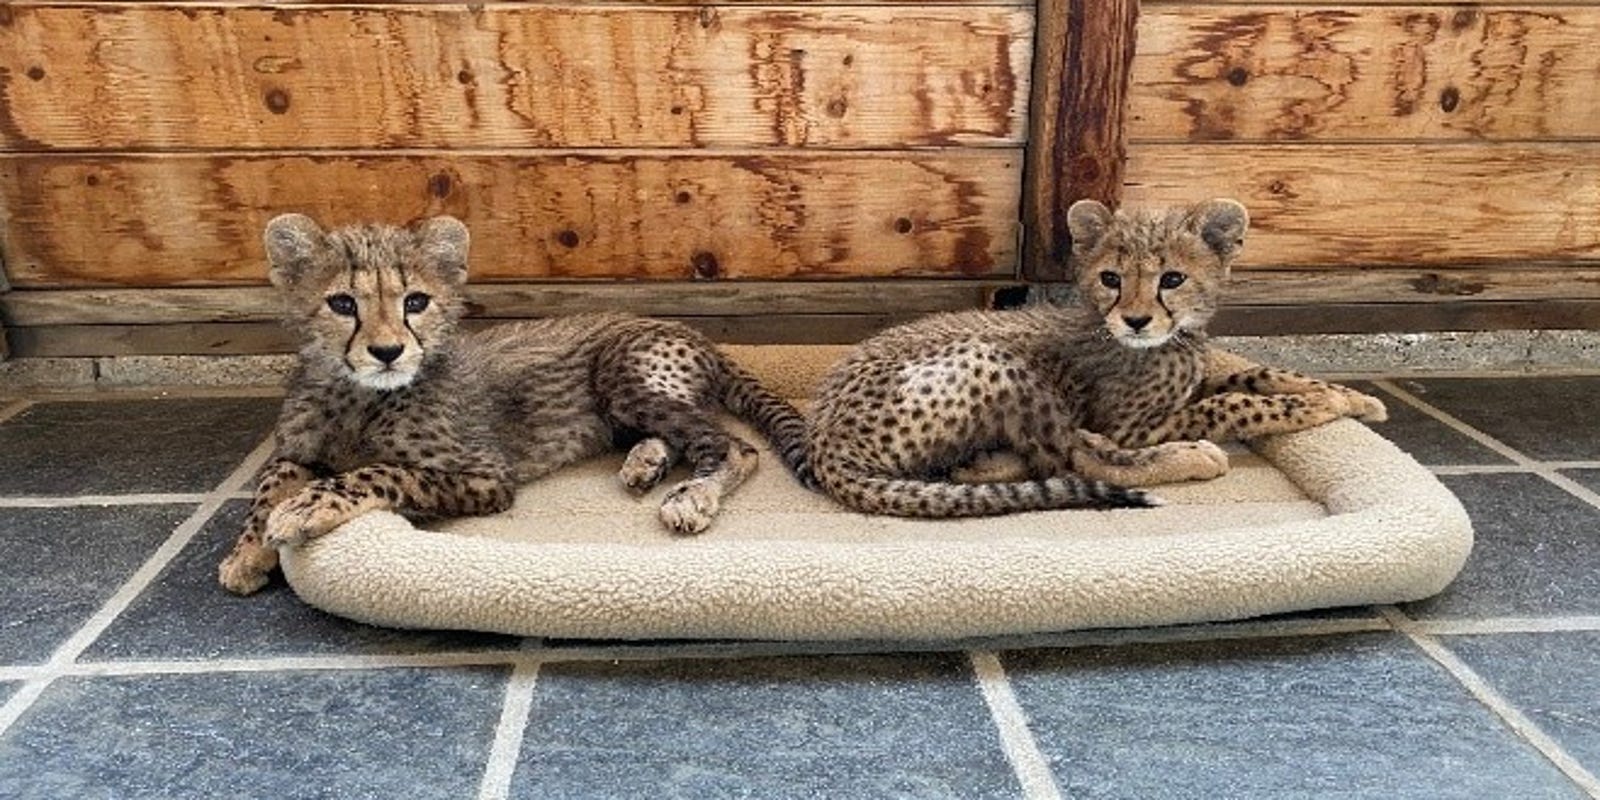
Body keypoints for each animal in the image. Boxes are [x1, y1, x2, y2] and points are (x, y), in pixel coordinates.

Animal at [218, 213, 811, 595]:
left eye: (416, 302)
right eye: (342, 303)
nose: (387, 351)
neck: (359, 396)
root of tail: (691, 330)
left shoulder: (486, 477)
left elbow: (380, 472)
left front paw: (306, 507)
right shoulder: (295, 450)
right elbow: (269, 484)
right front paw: (247, 551)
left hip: (621, 373)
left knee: (731, 445)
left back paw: (692, 495)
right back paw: (645, 462)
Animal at [804, 197, 1387, 518]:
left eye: (1171, 278)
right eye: (1111, 277)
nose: (1136, 320)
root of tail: (826, 439)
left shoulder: (1198, 369)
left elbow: (1255, 373)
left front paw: (1349, 398)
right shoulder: (1132, 425)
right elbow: (1232, 405)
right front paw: (1315, 408)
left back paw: (987, 462)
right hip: (993, 361)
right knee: (1073, 455)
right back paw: (1192, 457)